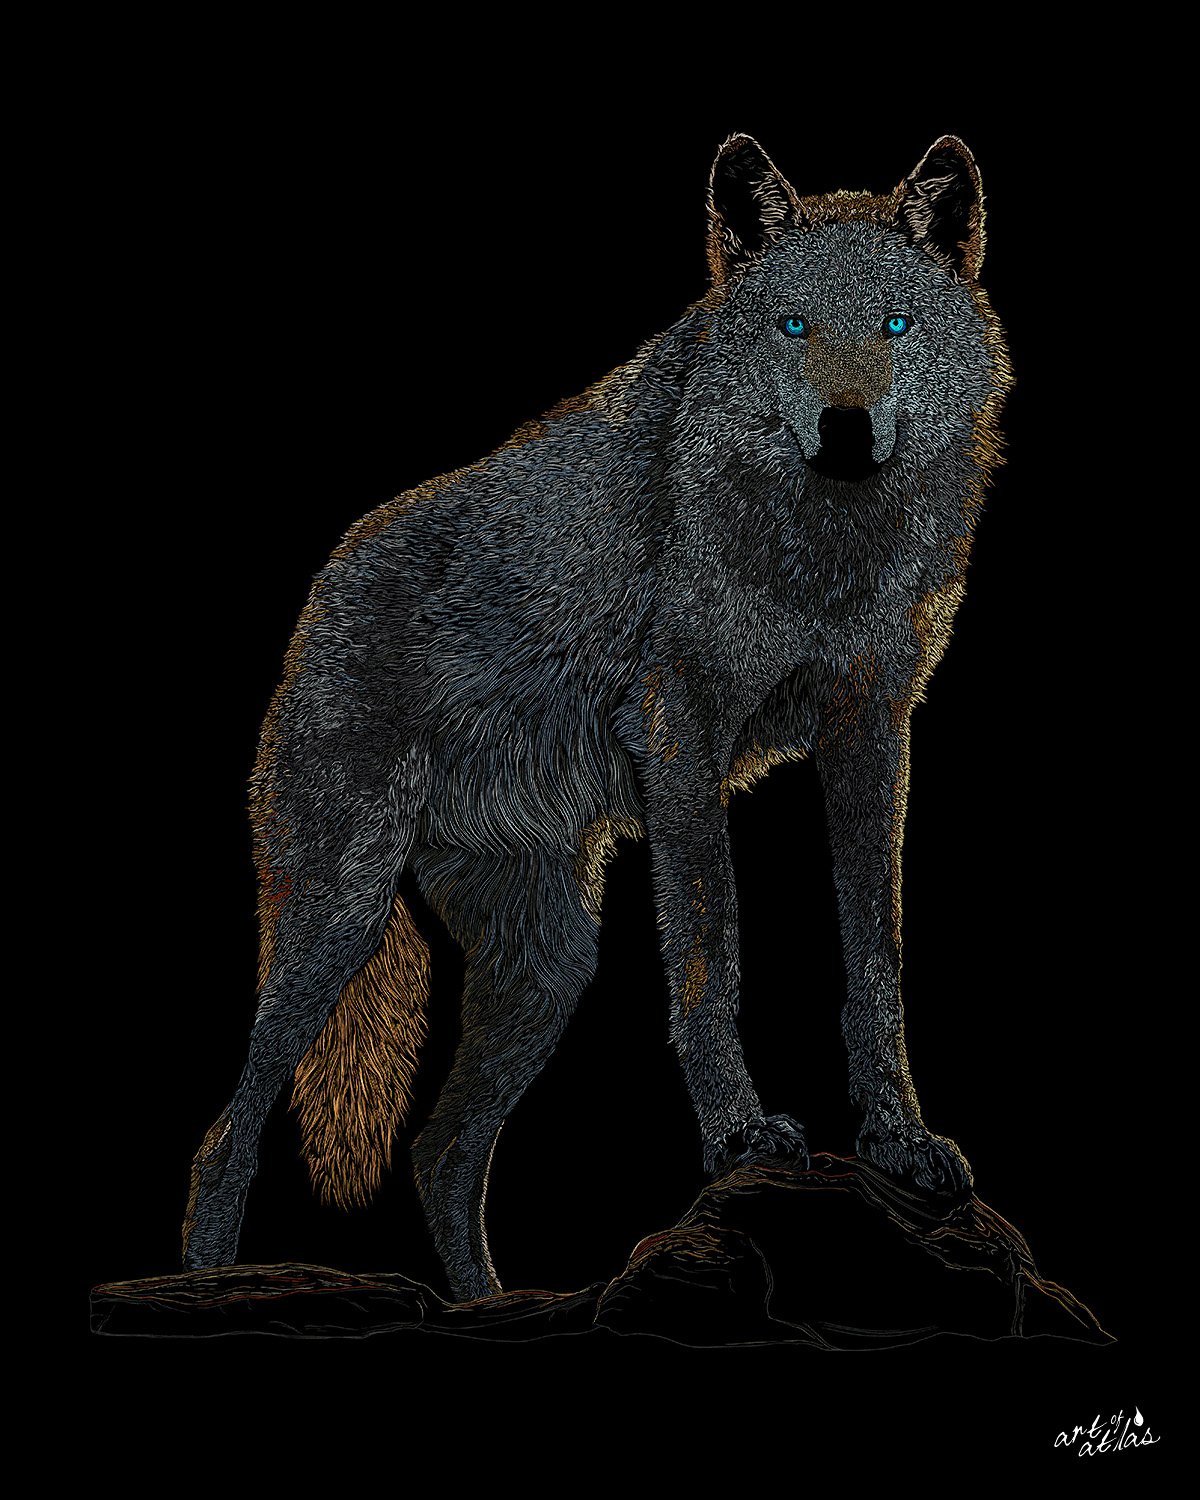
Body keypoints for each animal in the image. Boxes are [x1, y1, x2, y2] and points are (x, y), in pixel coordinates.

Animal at [182, 134, 1013, 1302]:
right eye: (793, 326)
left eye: (897, 325)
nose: (847, 427)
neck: (824, 556)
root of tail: (322, 588)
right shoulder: (682, 735)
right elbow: (712, 951)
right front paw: (740, 1136)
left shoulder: (873, 733)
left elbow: (875, 958)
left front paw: (898, 1140)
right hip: (340, 916)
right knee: (231, 1129)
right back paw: (207, 1286)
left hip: (550, 965)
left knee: (439, 1150)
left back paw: (489, 1306)